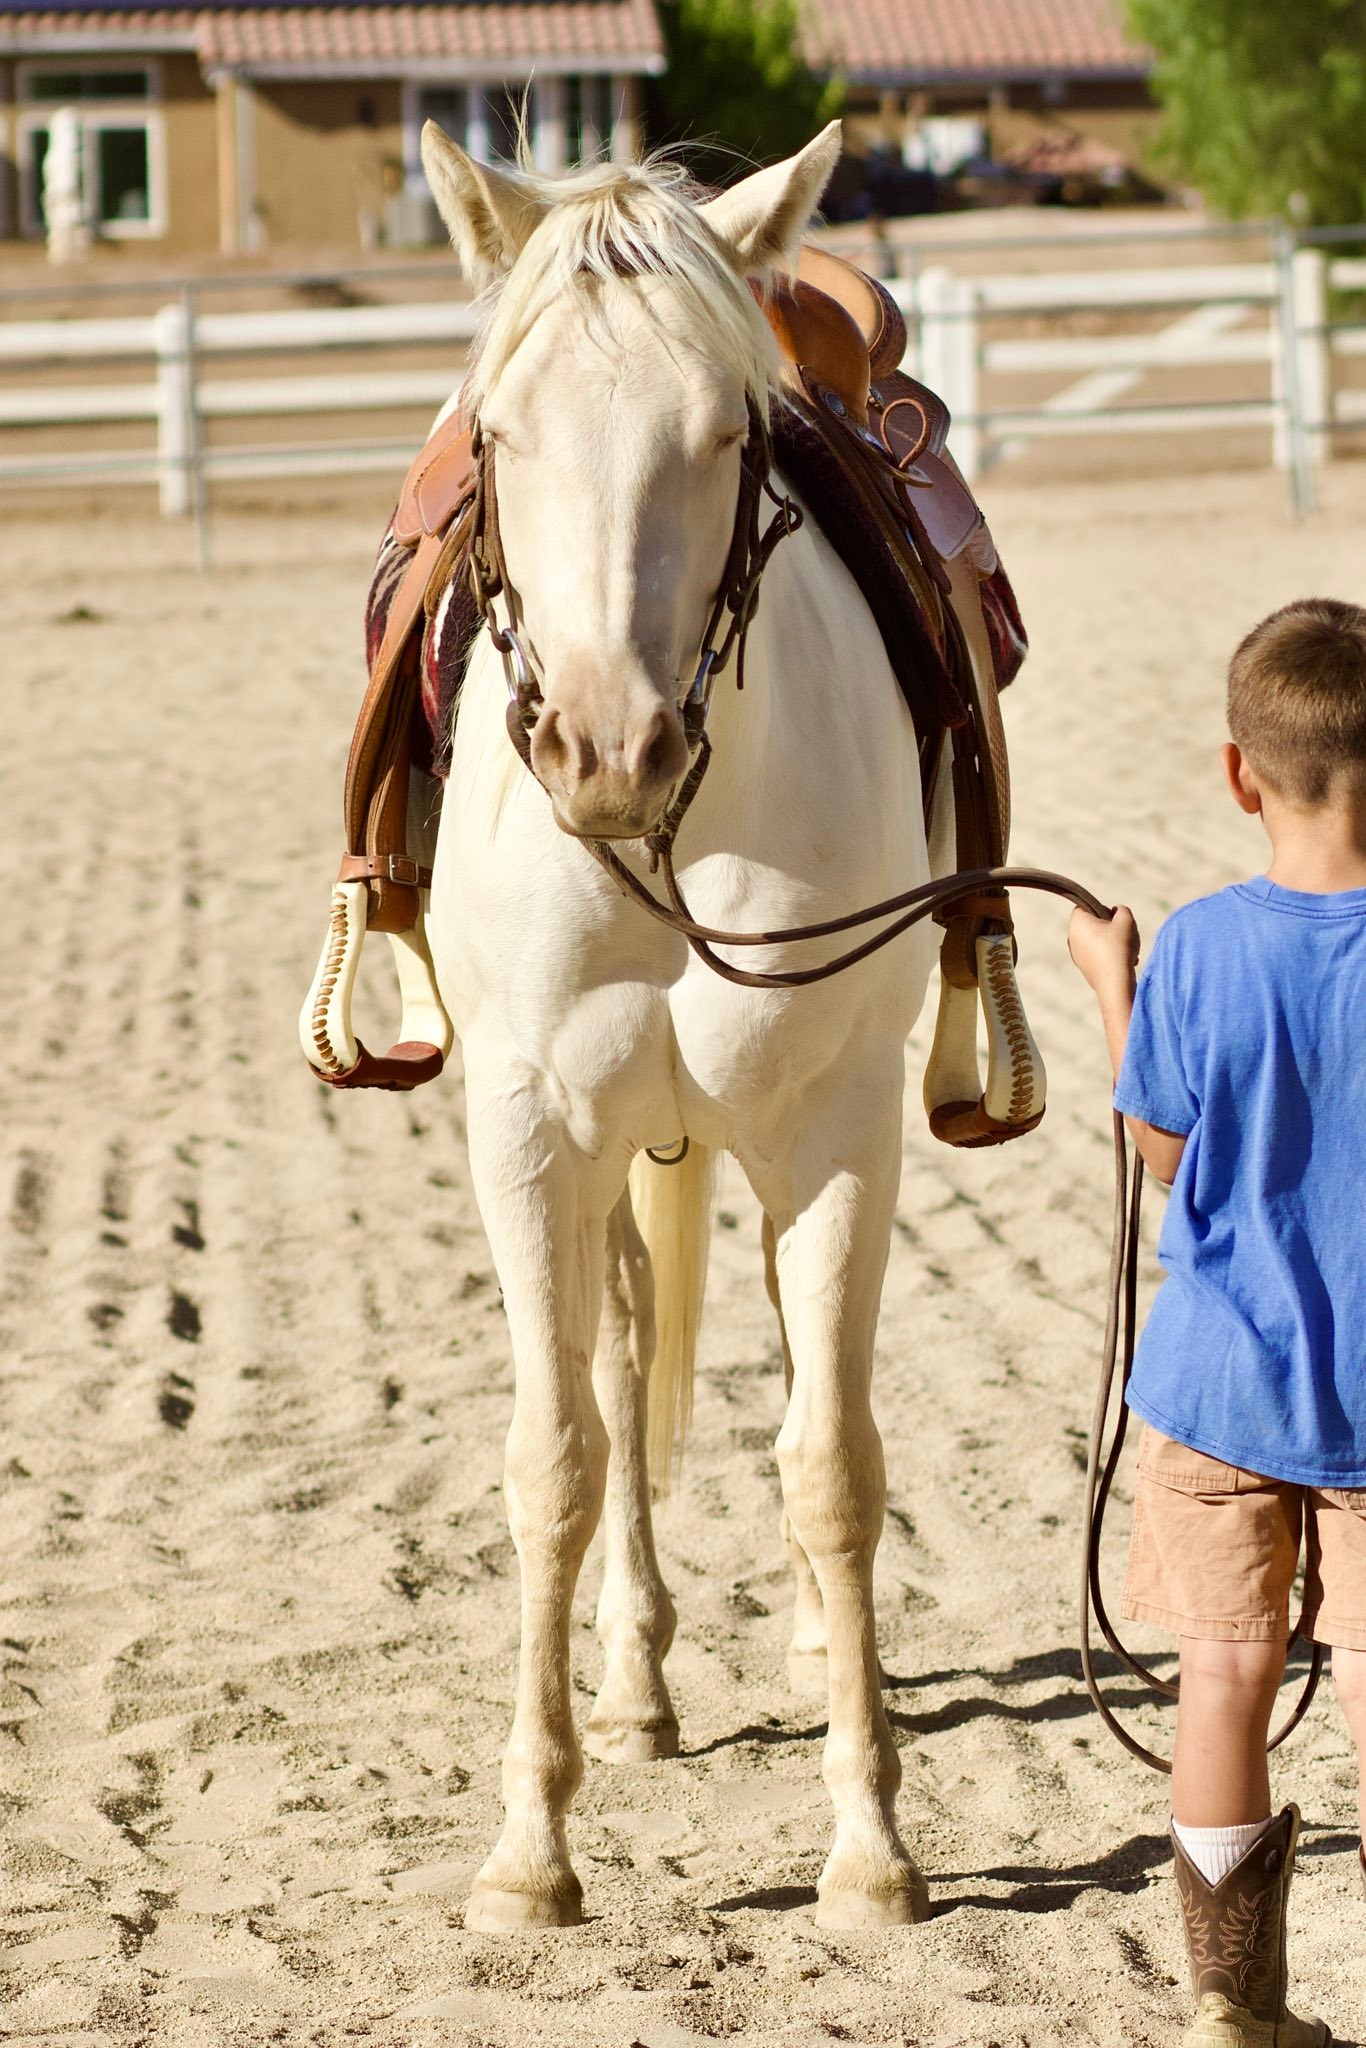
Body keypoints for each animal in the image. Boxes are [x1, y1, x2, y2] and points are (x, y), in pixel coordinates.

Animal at [413, 117, 985, 1934]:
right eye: (500, 435)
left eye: (729, 431)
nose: (606, 749)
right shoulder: (531, 1133)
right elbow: (555, 1456)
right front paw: (531, 1849)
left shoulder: (834, 1124)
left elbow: (830, 1463)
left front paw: (869, 1844)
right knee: (615, 1364)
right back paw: (635, 1682)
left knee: (803, 1383)